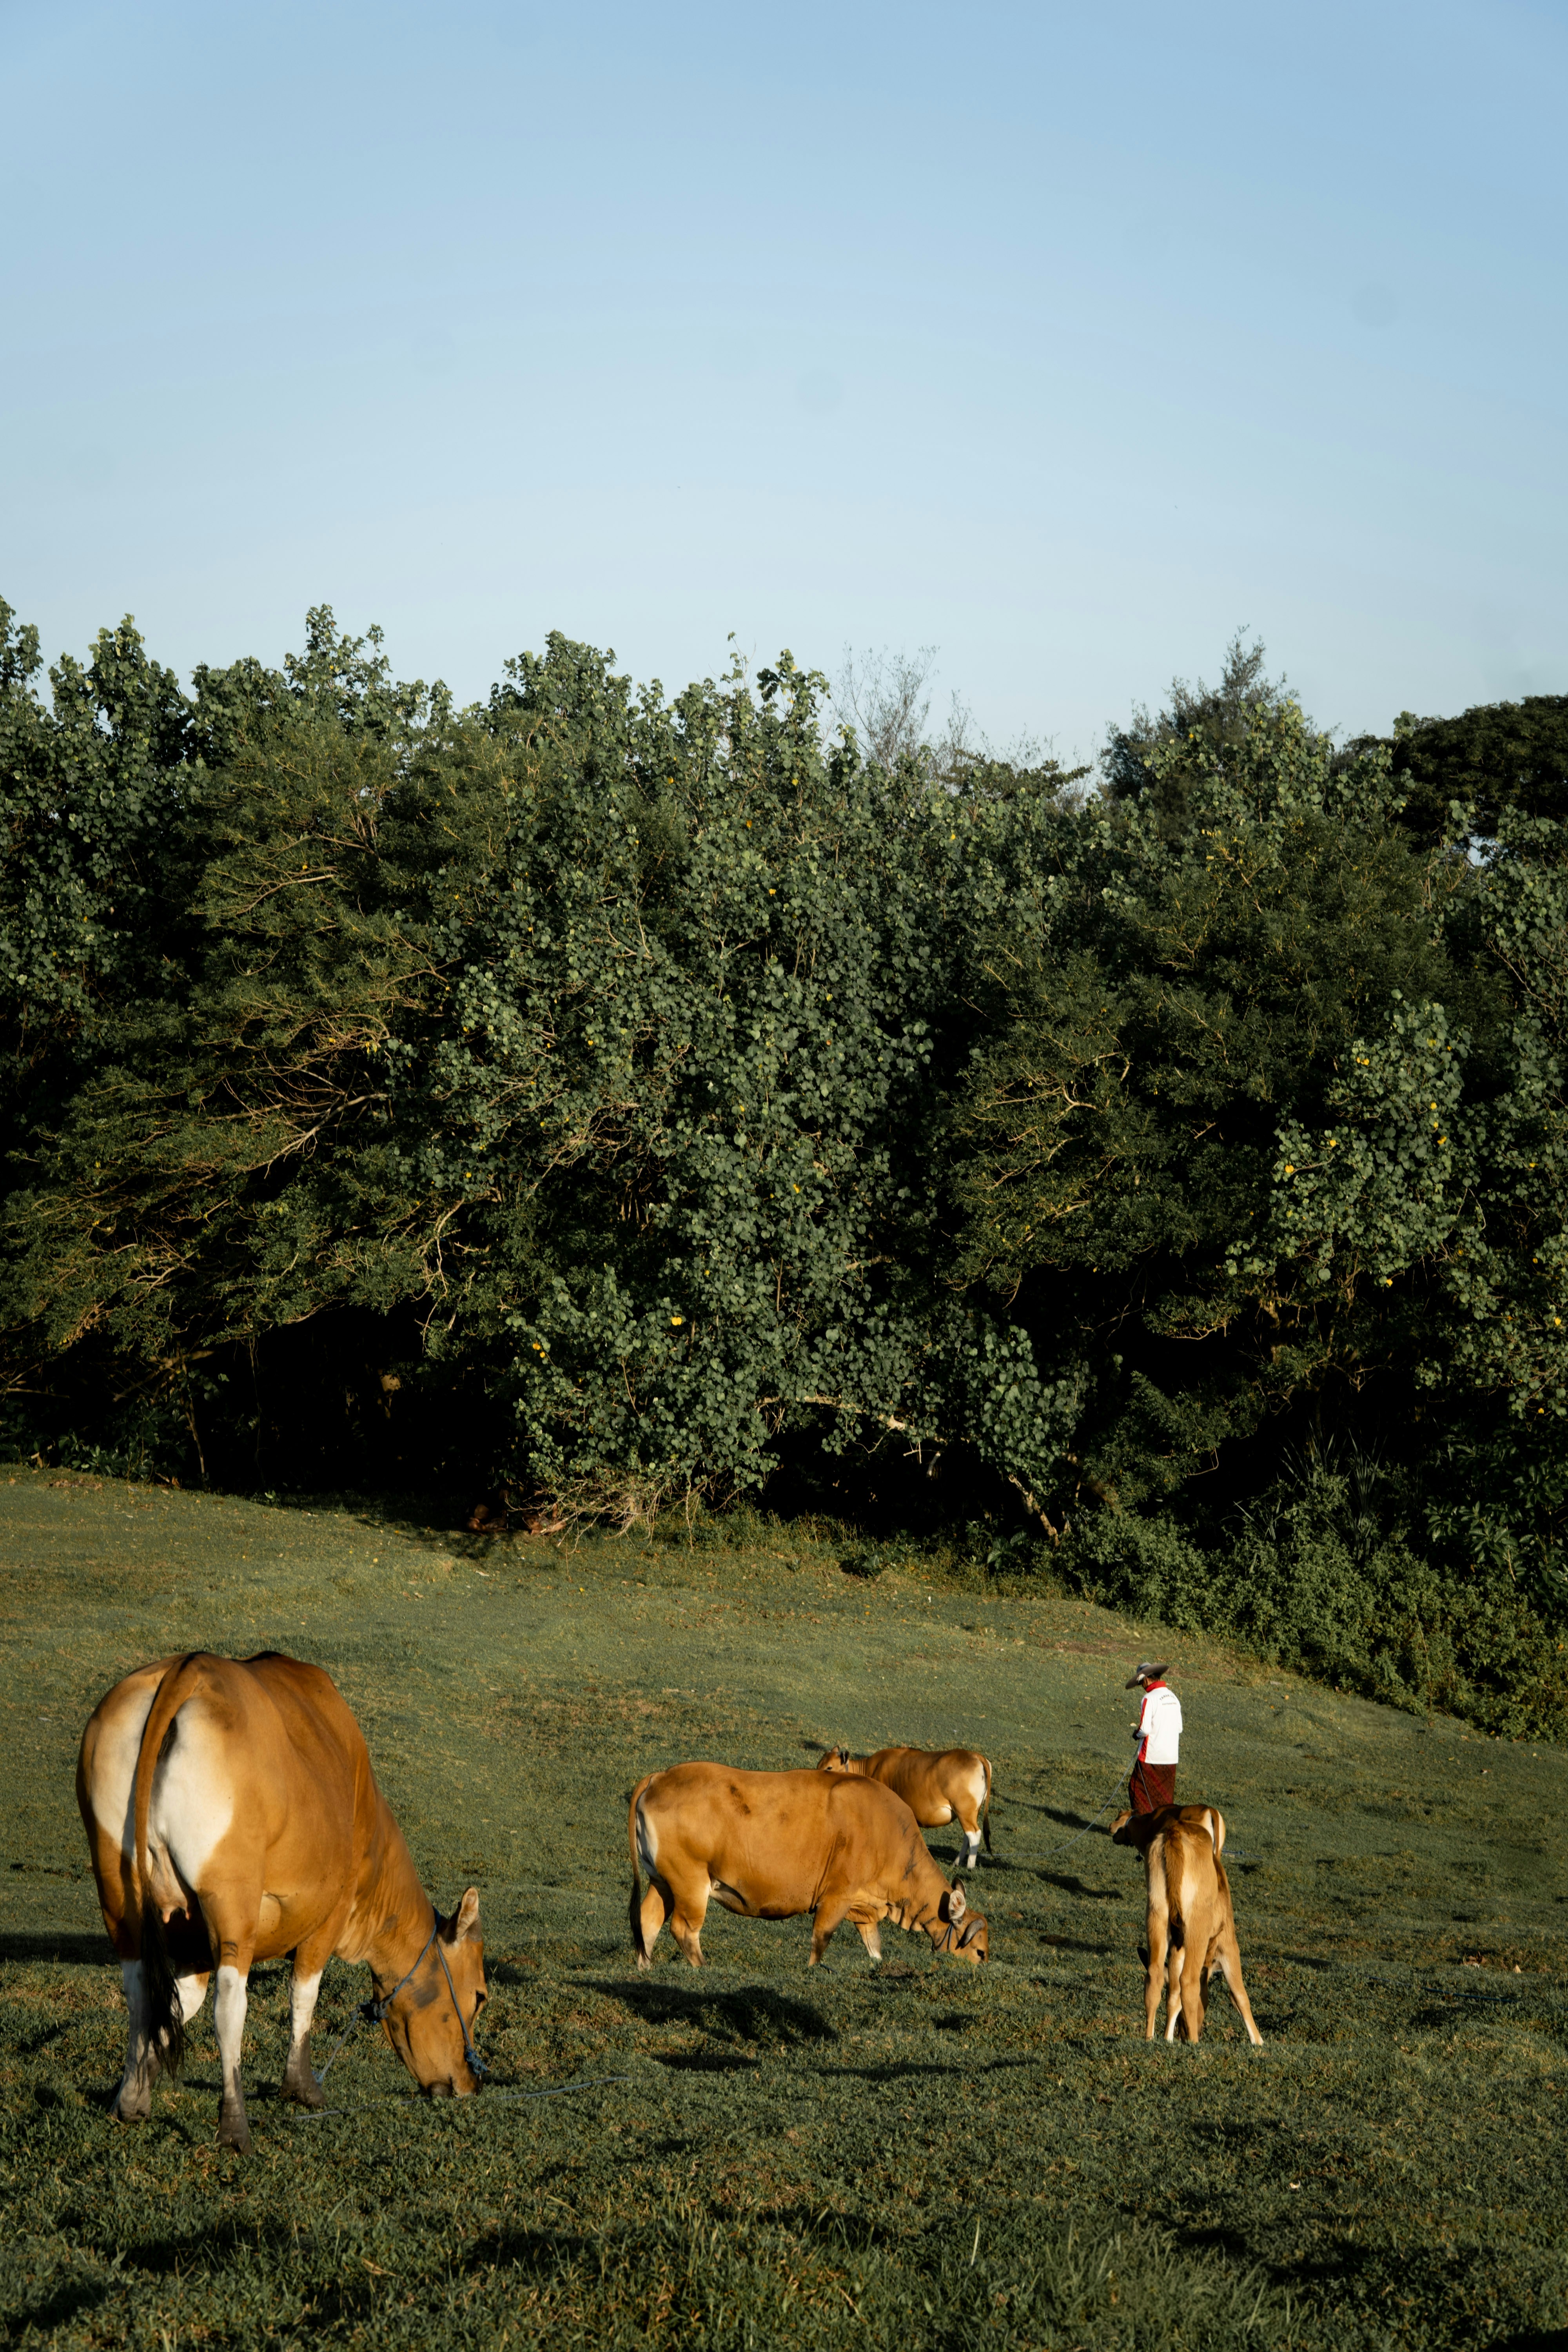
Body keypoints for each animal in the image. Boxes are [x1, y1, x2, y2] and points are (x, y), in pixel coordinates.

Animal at [76, 1651, 487, 2152]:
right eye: (480, 1997)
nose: (472, 2082)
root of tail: (188, 1667)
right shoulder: (328, 1917)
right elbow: (303, 1996)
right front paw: (301, 2087)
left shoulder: (192, 1944)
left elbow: (176, 2006)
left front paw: (134, 2084)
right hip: (232, 1899)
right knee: (230, 2006)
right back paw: (235, 2127)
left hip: (117, 1887)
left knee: (139, 1989)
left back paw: (133, 2103)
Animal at [628, 1764, 989, 1970]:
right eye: (980, 1952)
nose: (982, 1971)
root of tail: (661, 1777)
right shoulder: (836, 1897)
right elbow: (821, 1941)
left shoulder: (865, 1905)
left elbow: (874, 1946)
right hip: (691, 1882)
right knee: (684, 1929)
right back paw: (702, 1968)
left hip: (662, 1881)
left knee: (648, 1920)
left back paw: (646, 1968)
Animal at [817, 1743, 993, 1869]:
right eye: (820, 1764)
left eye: (829, 1768)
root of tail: (976, 1756)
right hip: (969, 1813)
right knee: (967, 1836)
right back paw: (958, 1862)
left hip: (965, 1811)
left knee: (974, 1834)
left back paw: (970, 1866)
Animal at [1110, 1804, 1262, 2046]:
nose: (1185, 2033)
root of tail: (1175, 1834)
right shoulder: (1228, 1943)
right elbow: (1240, 1995)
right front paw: (1259, 2042)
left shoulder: (1177, 1947)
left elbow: (1173, 1995)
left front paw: (1167, 2037)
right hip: (1196, 1929)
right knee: (1188, 1982)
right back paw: (1194, 2043)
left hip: (1157, 1914)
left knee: (1154, 1975)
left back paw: (1150, 2038)